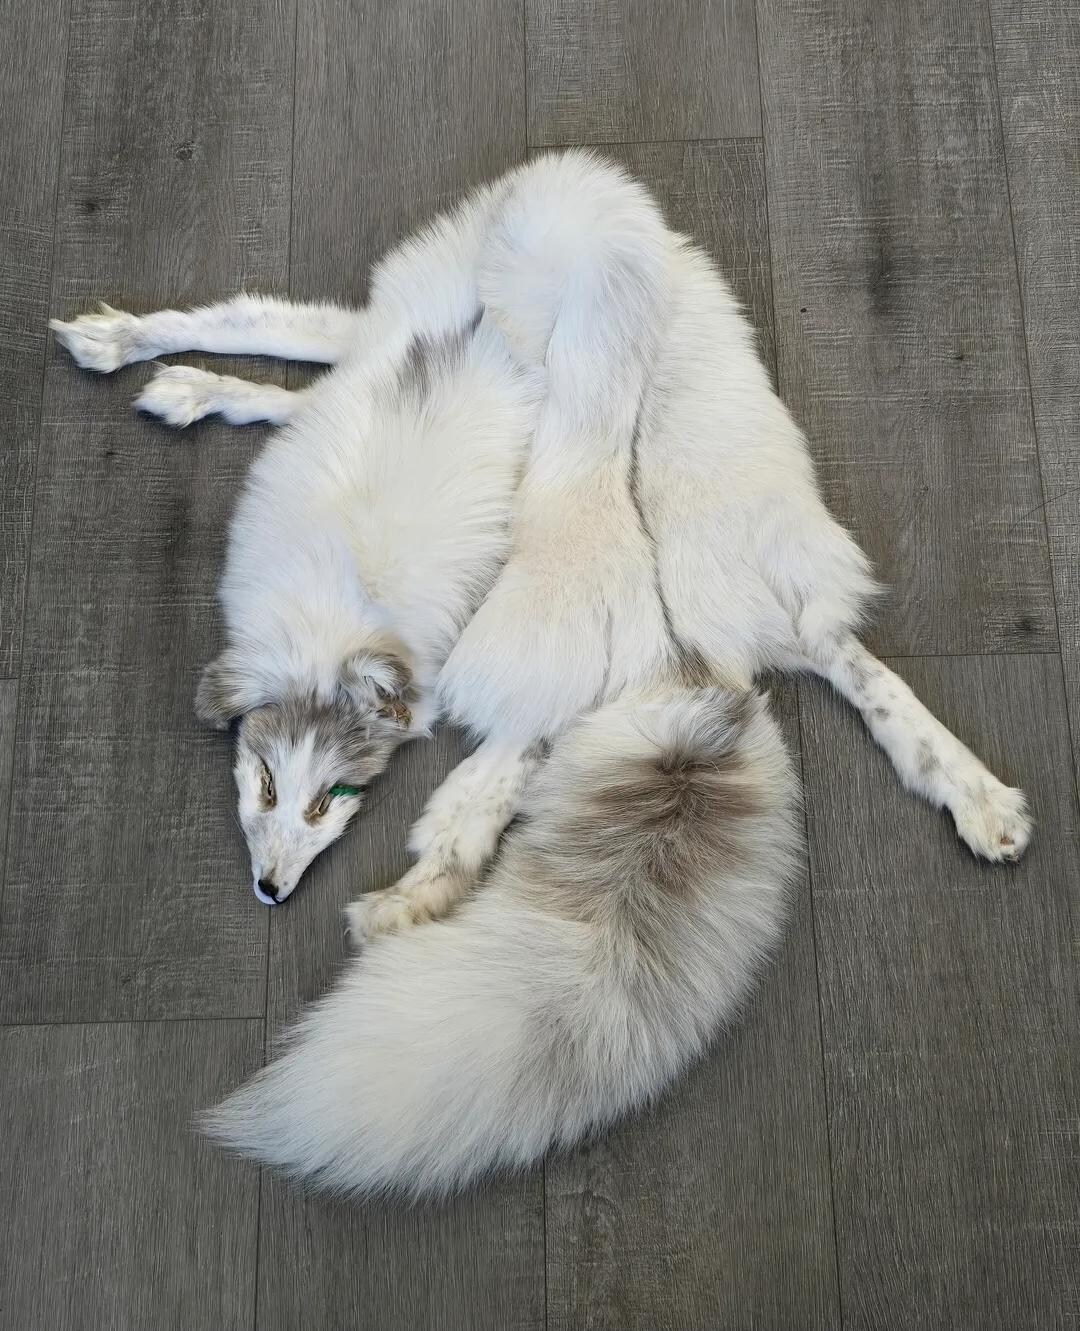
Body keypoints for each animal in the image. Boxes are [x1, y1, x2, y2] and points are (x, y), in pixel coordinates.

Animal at [51, 151, 1031, 1197]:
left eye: (312, 798)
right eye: (269, 785)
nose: (272, 890)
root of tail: (706, 677)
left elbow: (255, 331)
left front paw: (156, 365)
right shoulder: (368, 344)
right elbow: (267, 359)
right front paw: (162, 371)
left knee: (546, 733)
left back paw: (411, 890)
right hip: (698, 616)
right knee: (828, 677)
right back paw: (979, 800)